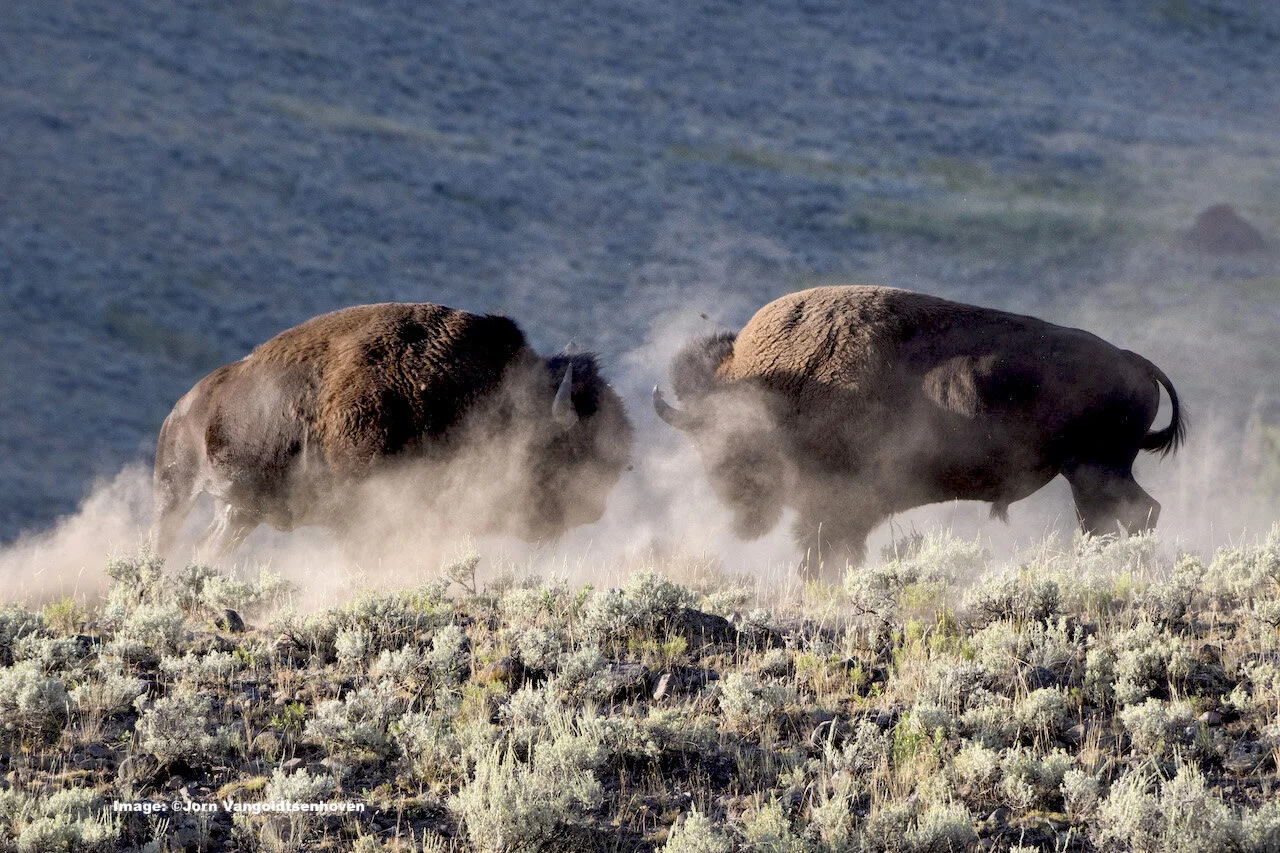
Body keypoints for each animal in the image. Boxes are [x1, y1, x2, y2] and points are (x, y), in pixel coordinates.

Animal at [153, 302, 633, 559]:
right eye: (574, 448)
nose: (596, 507)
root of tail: (180, 409)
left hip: (239, 513)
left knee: (207, 549)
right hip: (175, 492)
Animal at [654, 286, 1184, 573]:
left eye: (726, 438)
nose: (737, 511)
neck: (785, 385)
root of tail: (1133, 360)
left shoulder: (836, 504)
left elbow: (826, 554)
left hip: (1096, 471)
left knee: (1134, 514)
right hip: (1091, 476)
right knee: (1116, 520)